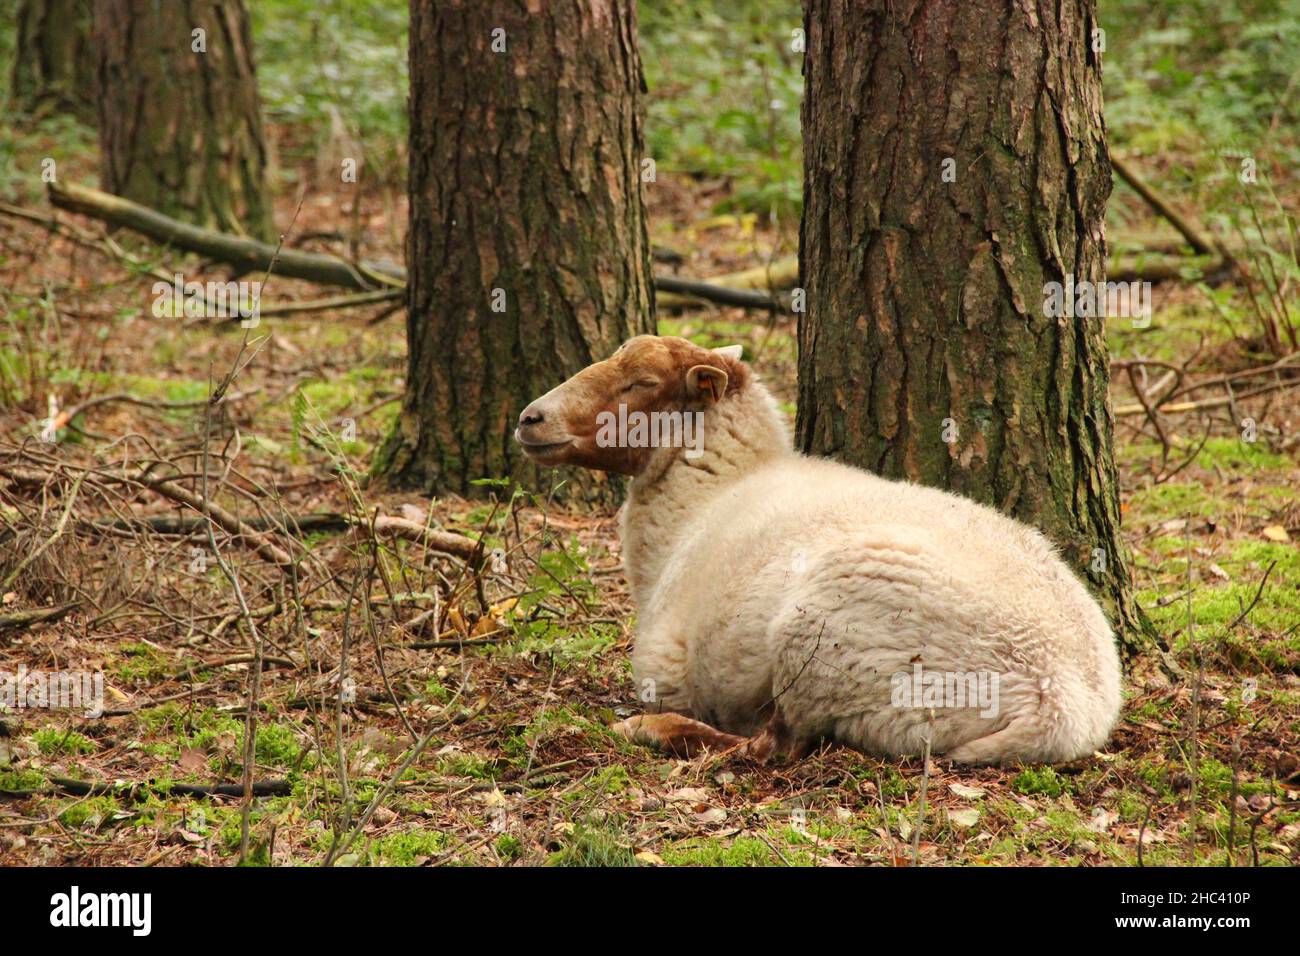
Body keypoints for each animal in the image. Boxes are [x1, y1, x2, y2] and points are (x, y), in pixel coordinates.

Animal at [515, 335, 1123, 765]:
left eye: (640, 382)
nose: (529, 418)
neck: (709, 495)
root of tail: (1061, 705)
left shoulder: (665, 667)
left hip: (825, 644)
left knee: (773, 746)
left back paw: (652, 732)